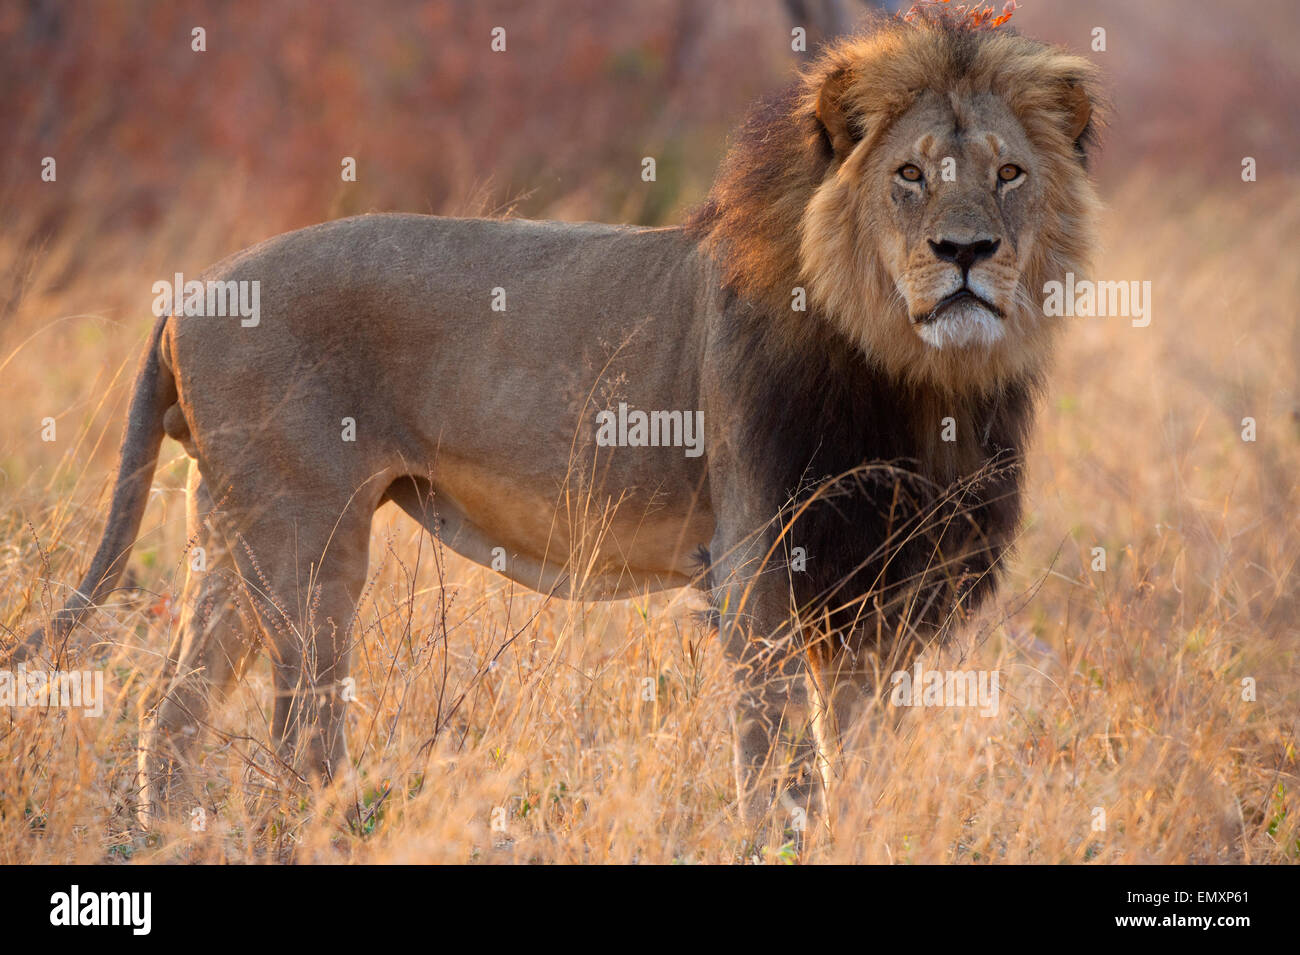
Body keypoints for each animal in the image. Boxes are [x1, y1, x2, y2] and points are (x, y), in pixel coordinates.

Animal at [14, 11, 1101, 829]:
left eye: (1007, 173)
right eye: (909, 175)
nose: (966, 252)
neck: (920, 377)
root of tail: (184, 299)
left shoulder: (879, 586)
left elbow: (857, 758)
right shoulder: (759, 569)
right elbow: (779, 765)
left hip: (228, 535)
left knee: (171, 709)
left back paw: (166, 833)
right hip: (307, 541)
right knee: (296, 738)